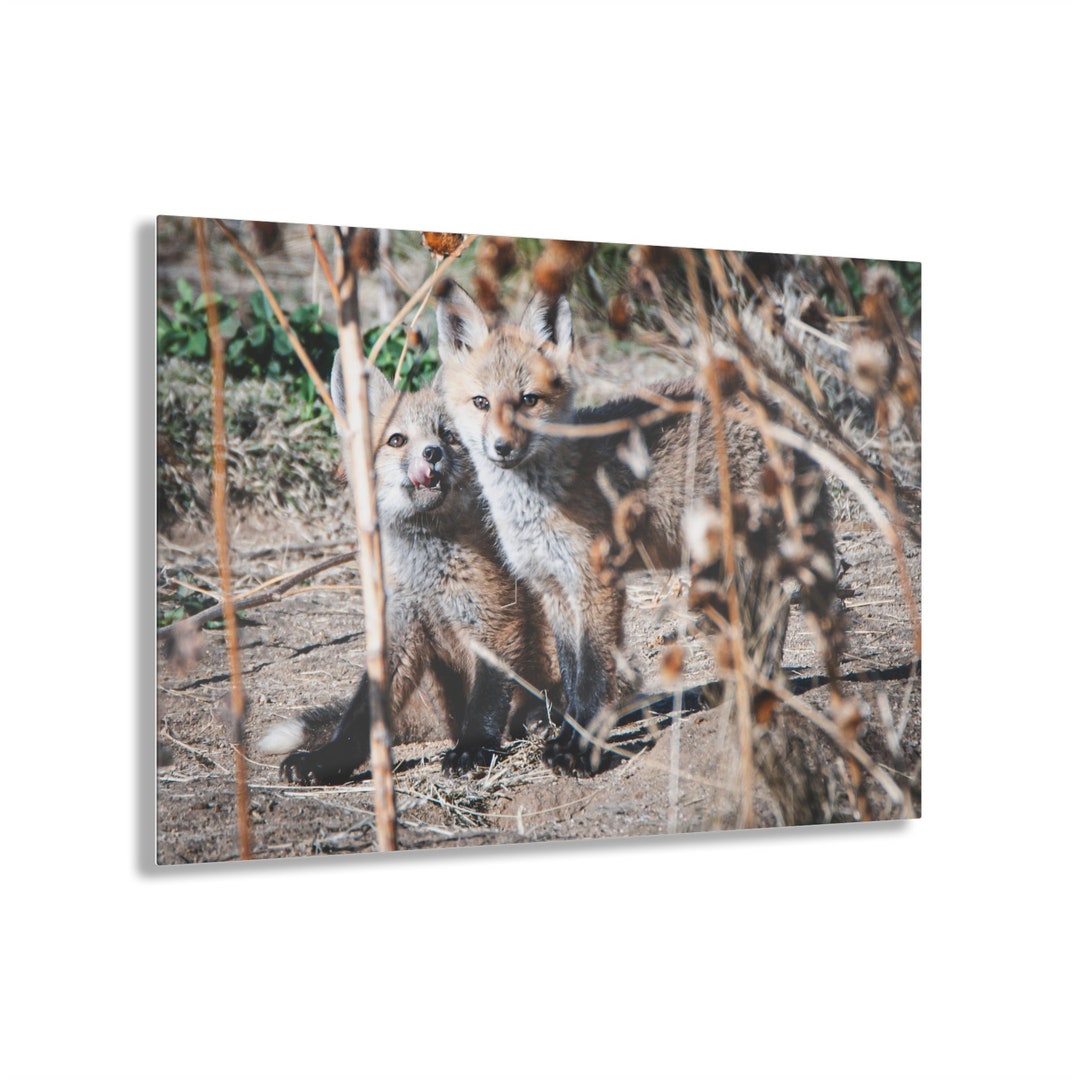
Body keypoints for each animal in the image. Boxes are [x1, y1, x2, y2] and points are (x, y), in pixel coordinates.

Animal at [264, 354, 556, 784]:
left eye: (448, 436)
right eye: (397, 440)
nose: (432, 453)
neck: (427, 577)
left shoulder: (495, 623)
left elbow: (486, 700)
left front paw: (472, 748)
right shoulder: (398, 632)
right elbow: (358, 721)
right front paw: (326, 759)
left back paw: (547, 715)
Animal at [435, 280, 836, 776]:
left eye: (528, 400)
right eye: (482, 403)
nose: (502, 447)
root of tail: (770, 407)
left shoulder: (598, 583)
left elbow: (591, 675)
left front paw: (578, 746)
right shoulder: (553, 588)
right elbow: (570, 668)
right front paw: (562, 731)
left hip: (738, 564)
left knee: (773, 619)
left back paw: (759, 691)